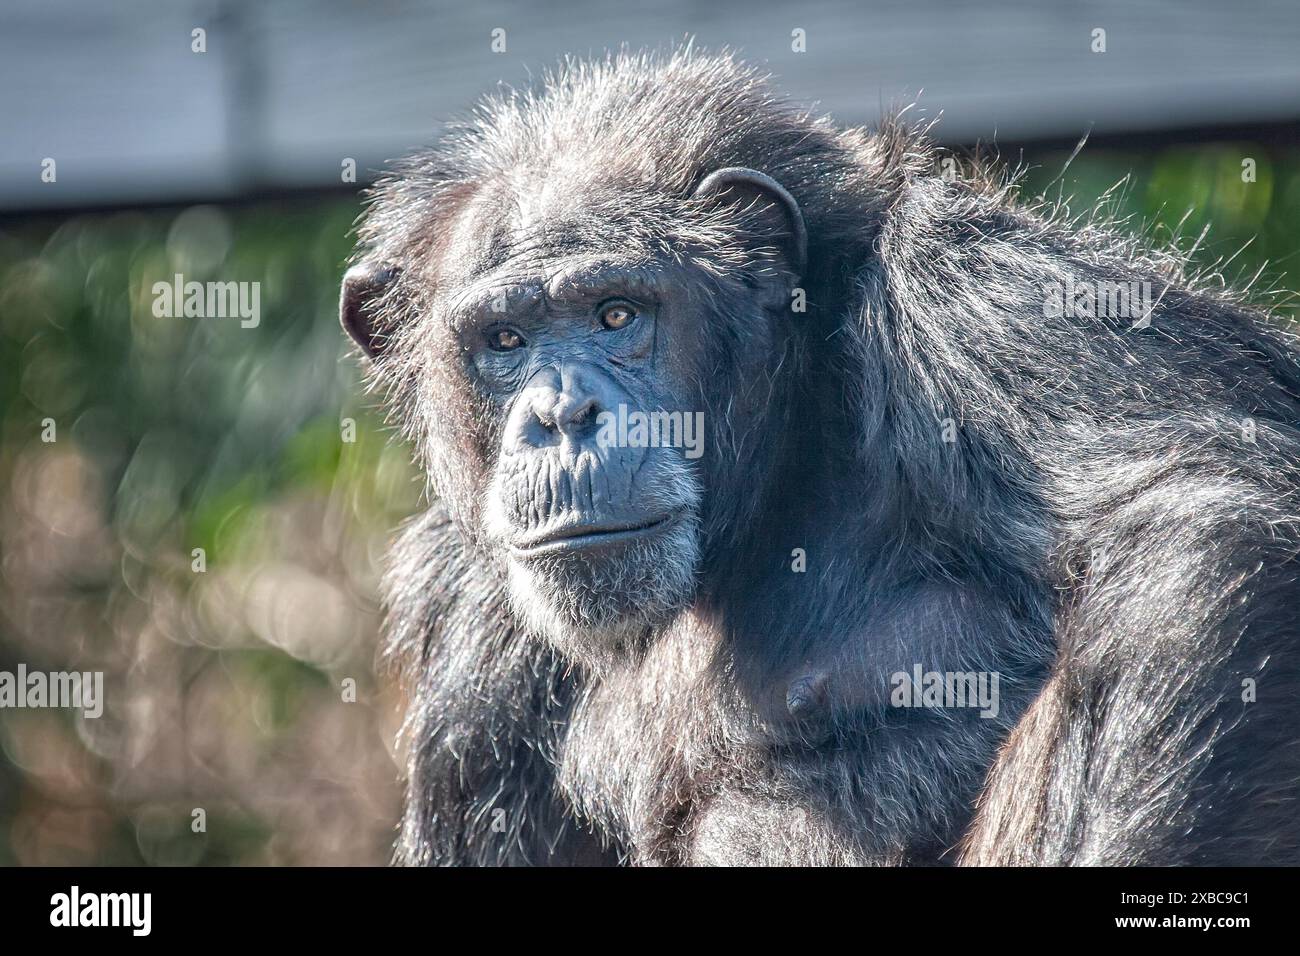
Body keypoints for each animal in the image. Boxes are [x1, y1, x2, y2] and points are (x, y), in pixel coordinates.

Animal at [340, 49, 1300, 865]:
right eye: (504, 339)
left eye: (617, 313)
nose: (559, 414)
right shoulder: (465, 639)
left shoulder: (980, 302)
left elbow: (1202, 524)